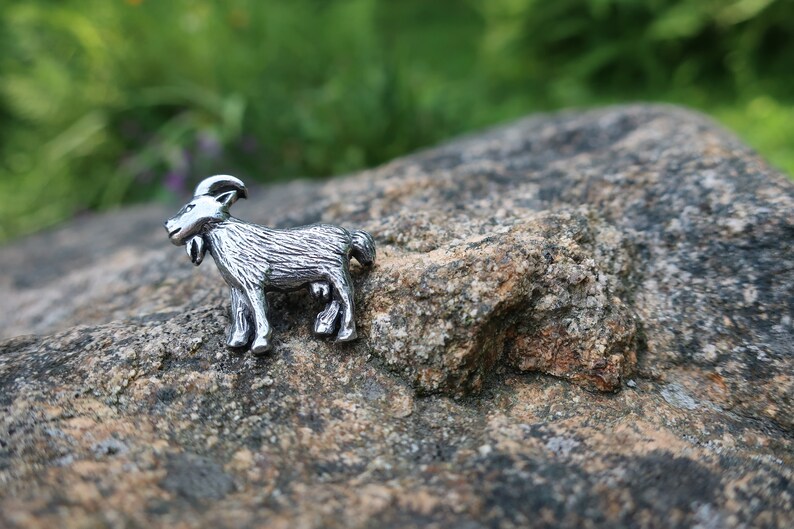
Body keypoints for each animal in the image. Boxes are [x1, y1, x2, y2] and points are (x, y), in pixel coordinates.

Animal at [164, 175, 375, 353]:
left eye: (190, 206)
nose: (167, 224)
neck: (231, 238)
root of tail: (349, 236)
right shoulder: (236, 287)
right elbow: (239, 313)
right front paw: (235, 342)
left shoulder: (253, 283)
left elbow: (259, 312)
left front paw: (260, 344)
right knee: (336, 300)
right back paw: (323, 326)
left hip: (336, 272)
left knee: (347, 297)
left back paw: (345, 334)